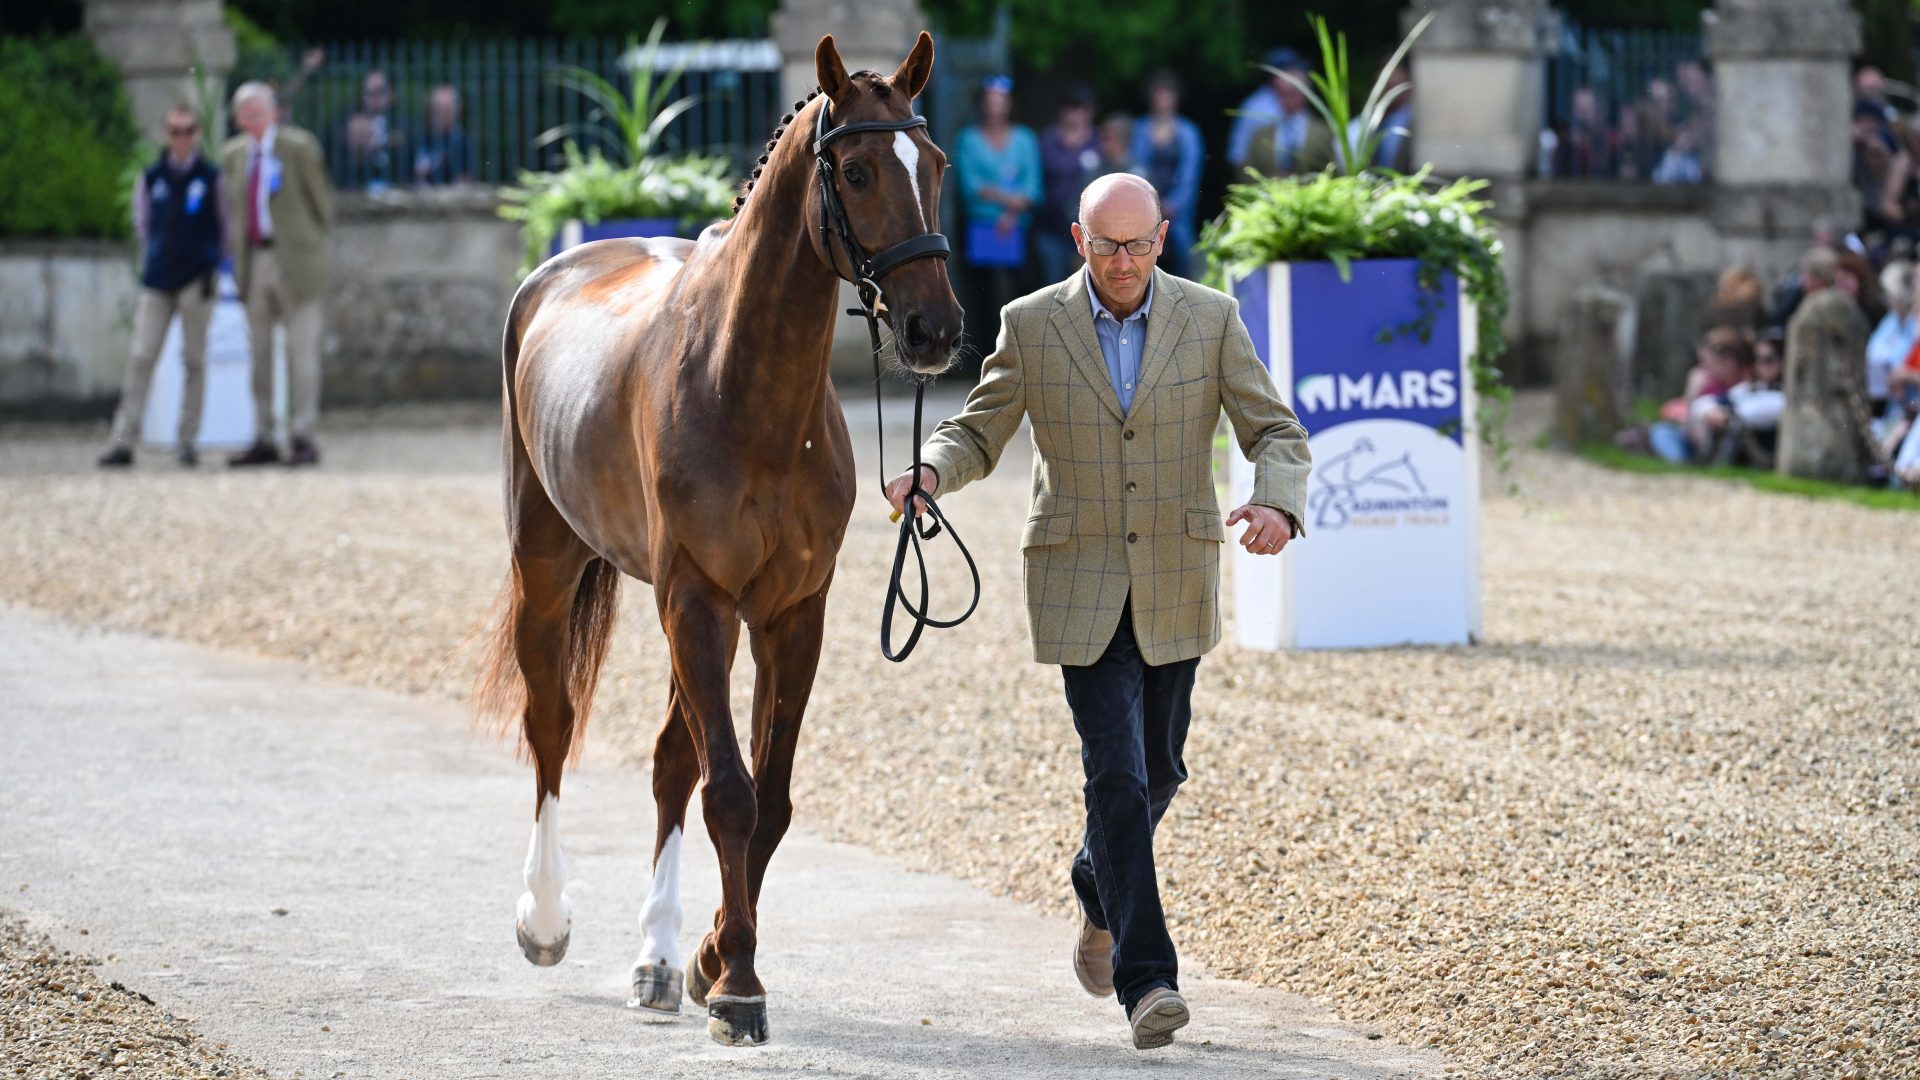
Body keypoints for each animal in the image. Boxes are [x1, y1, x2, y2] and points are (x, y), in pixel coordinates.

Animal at [474, 32, 960, 1046]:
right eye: (857, 171)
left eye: (934, 164)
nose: (935, 329)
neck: (751, 396)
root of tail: (557, 270)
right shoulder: (696, 597)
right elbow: (730, 793)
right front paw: (737, 986)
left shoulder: (786, 615)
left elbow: (764, 798)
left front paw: (707, 961)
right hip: (552, 566)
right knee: (552, 724)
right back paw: (545, 918)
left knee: (670, 762)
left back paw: (658, 959)